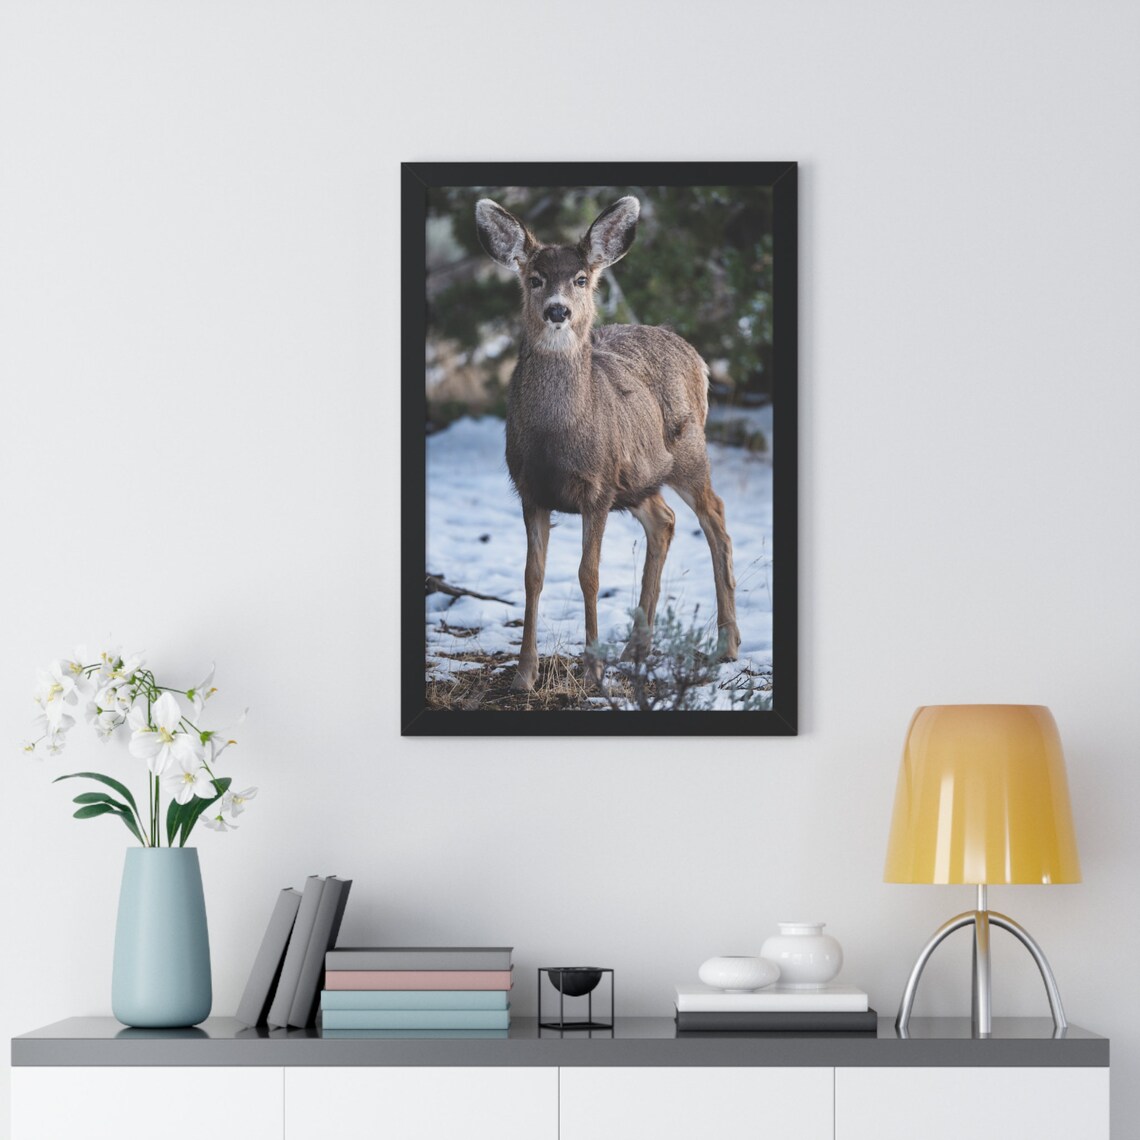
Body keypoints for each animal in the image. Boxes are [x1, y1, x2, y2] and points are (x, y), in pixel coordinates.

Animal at [474, 195, 739, 692]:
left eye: (581, 279)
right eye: (535, 278)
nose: (558, 311)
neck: (555, 439)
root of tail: (698, 358)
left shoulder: (596, 486)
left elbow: (588, 573)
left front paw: (593, 670)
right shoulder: (529, 488)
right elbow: (532, 576)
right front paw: (524, 674)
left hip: (689, 453)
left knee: (714, 515)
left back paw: (726, 645)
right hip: (636, 478)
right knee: (664, 520)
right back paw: (637, 648)